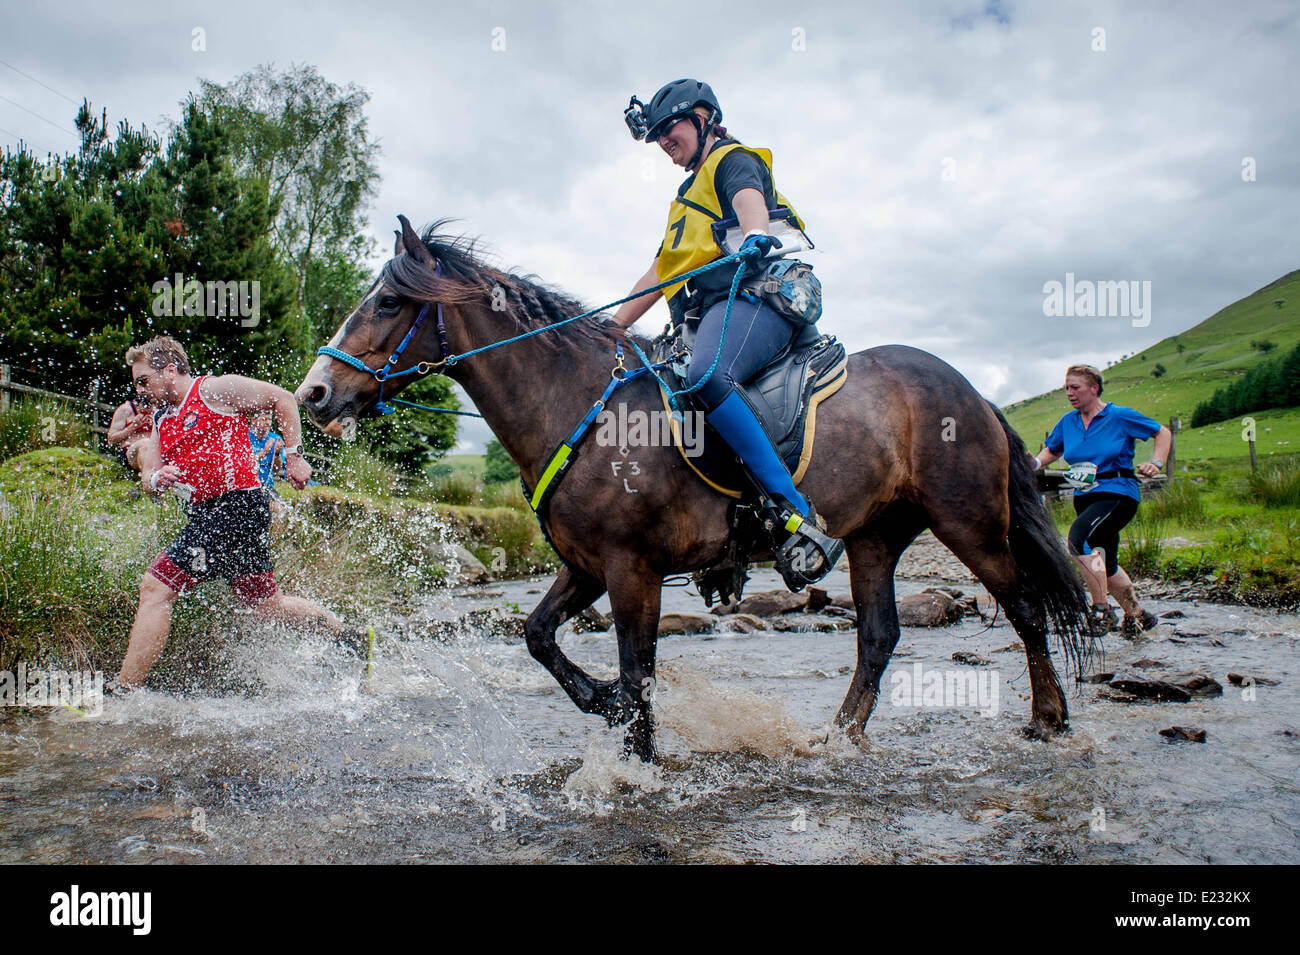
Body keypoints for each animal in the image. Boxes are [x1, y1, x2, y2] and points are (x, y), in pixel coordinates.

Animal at [296, 215, 1093, 761]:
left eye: (389, 302)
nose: (313, 393)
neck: (580, 405)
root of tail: (973, 392)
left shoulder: (631, 568)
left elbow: (638, 669)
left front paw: (637, 760)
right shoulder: (587, 566)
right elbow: (538, 636)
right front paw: (602, 705)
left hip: (969, 521)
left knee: (1024, 606)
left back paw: (1048, 718)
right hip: (873, 538)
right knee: (877, 635)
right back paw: (837, 737)